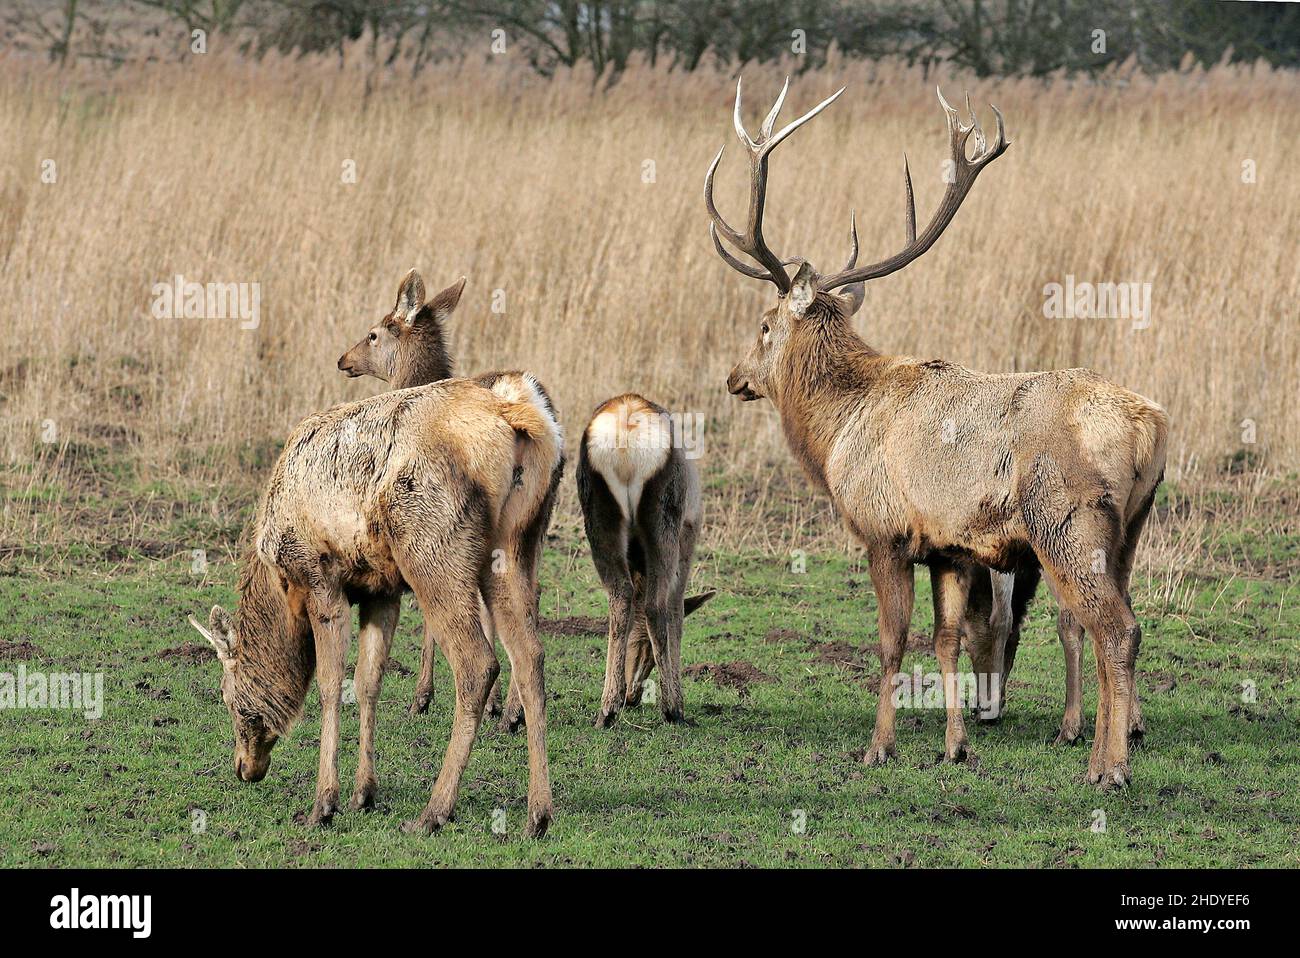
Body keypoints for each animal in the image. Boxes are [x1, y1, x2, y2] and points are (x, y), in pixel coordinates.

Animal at [187, 376, 561, 836]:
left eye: (228, 697)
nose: (243, 767)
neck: (279, 586)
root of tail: (519, 418)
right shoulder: (379, 590)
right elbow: (368, 682)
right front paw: (363, 793)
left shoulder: (321, 579)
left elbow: (331, 684)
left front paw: (323, 803)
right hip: (515, 548)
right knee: (530, 656)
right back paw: (538, 814)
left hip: (434, 552)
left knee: (478, 665)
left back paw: (434, 812)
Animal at [337, 269, 565, 733]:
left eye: (373, 334)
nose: (343, 359)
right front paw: (490, 704)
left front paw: (422, 698)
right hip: (533, 519)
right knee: (531, 596)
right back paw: (513, 712)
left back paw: (506, 710)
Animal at [578, 394, 715, 727]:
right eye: (648, 653)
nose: (634, 695)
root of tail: (625, 440)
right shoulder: (688, 539)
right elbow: (676, 613)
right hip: (664, 524)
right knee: (656, 605)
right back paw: (673, 709)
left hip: (597, 516)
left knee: (620, 598)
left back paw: (607, 709)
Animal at [705, 78, 1168, 788]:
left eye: (762, 325)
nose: (735, 379)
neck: (836, 431)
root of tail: (1151, 426)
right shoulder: (950, 547)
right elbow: (946, 639)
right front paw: (955, 745)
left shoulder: (884, 530)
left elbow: (892, 641)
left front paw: (878, 746)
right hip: (1130, 530)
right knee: (1115, 623)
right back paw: (1098, 750)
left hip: (1070, 522)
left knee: (1115, 628)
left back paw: (1109, 768)